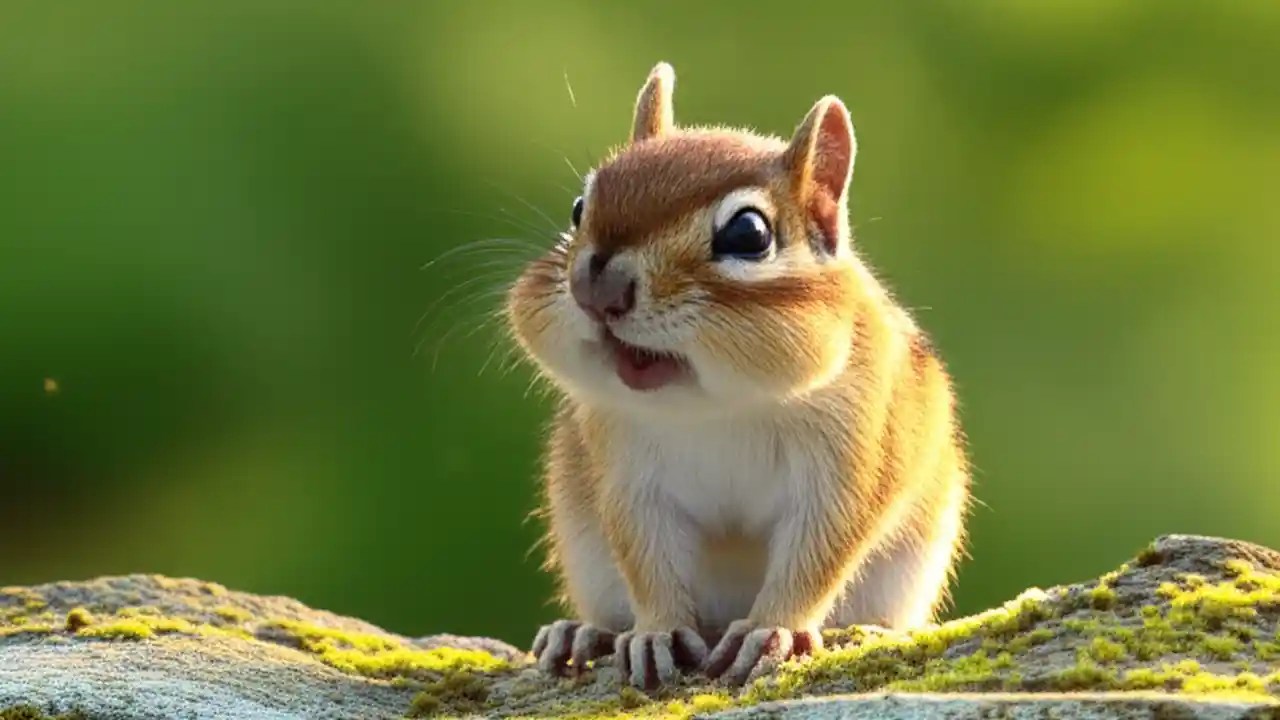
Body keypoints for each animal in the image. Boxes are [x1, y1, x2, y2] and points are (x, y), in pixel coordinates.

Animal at [504, 62, 972, 689]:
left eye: (748, 234)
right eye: (580, 207)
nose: (595, 286)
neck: (714, 405)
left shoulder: (849, 463)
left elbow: (818, 553)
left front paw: (771, 631)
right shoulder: (625, 471)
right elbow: (646, 556)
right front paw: (655, 634)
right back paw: (584, 633)